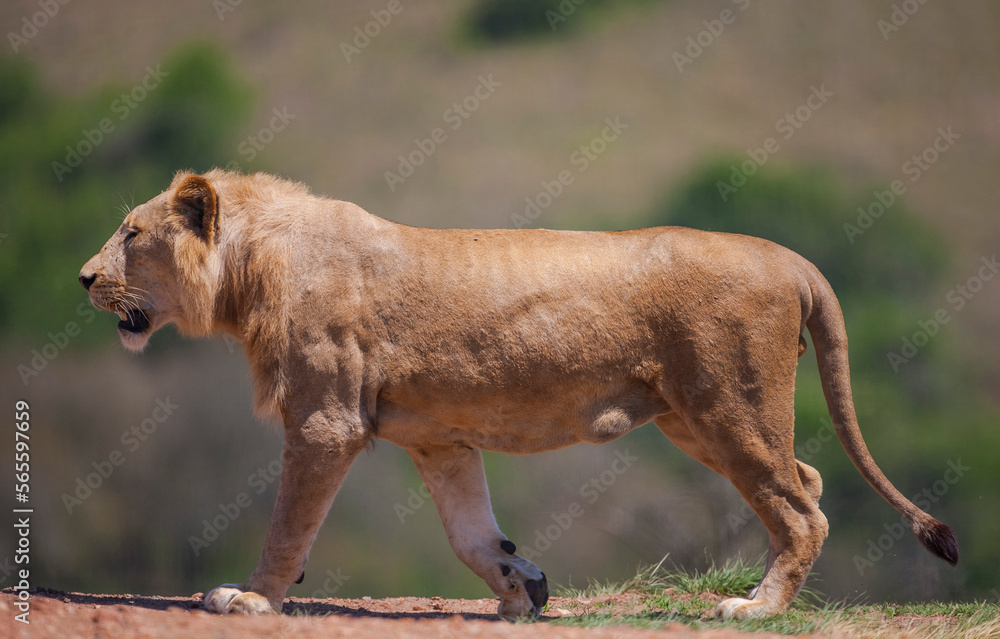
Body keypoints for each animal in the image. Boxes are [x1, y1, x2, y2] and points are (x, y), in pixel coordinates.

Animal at [79, 169, 957, 619]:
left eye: (131, 233)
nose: (84, 277)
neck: (250, 270)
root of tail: (790, 257)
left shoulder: (327, 421)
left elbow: (288, 526)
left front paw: (250, 596)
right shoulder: (438, 437)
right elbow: (473, 533)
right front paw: (521, 588)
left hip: (728, 405)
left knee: (801, 505)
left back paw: (755, 608)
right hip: (694, 419)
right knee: (805, 481)